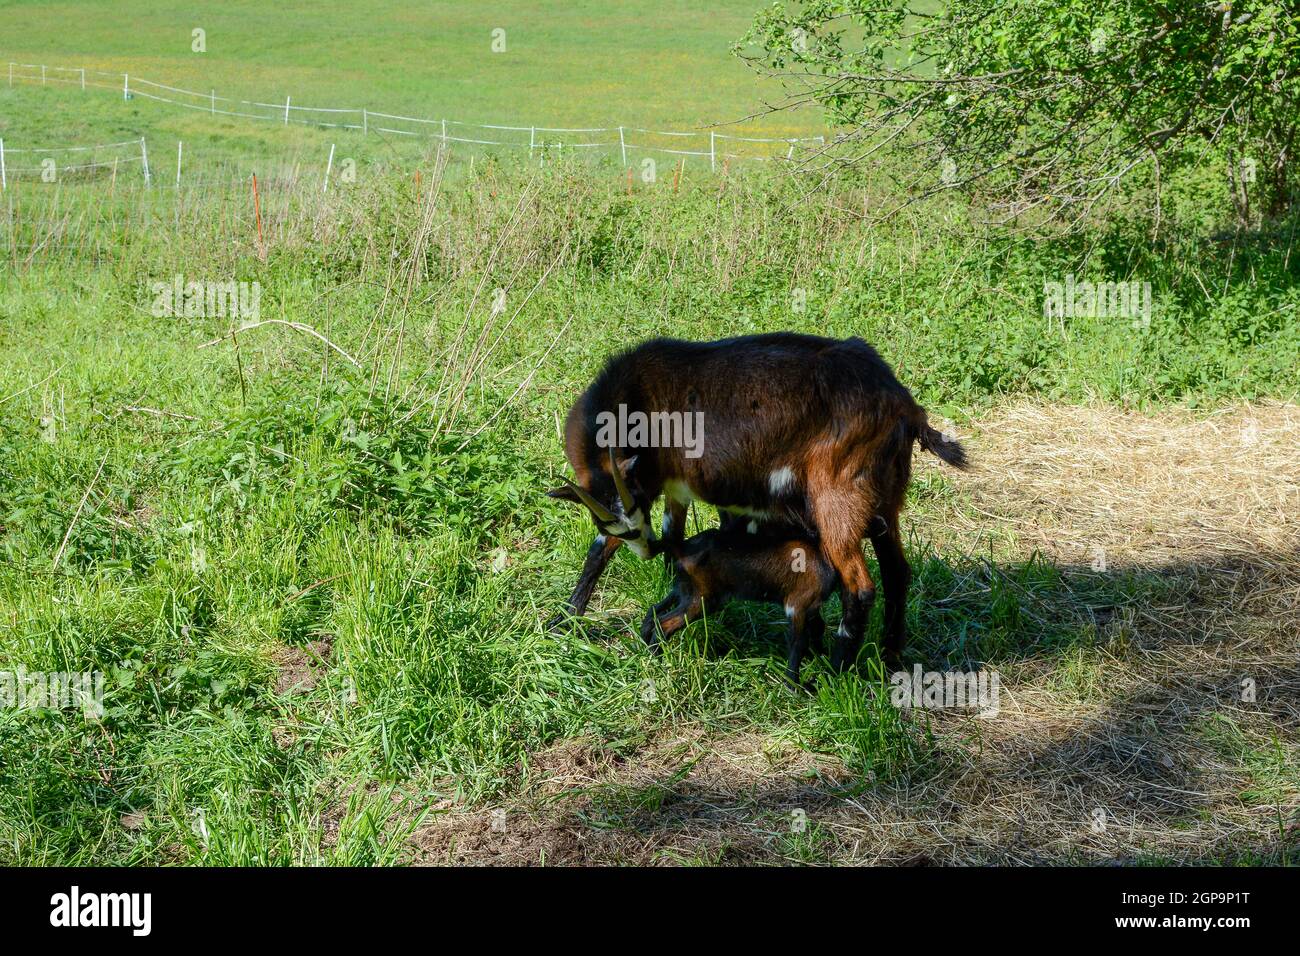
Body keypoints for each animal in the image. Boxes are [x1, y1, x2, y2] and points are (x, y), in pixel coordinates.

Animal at [547, 333, 967, 668]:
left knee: (860, 587)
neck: (636, 404)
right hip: (885, 499)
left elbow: (611, 547)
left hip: (840, 495)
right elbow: (665, 537)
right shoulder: (674, 489)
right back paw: (889, 657)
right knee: (897, 572)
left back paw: (837, 669)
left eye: (634, 505)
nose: (645, 551)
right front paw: (564, 622)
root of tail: (903, 403)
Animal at [642, 525, 838, 685]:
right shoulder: (798, 605)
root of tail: (682, 548)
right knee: (664, 624)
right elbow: (798, 643)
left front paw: (825, 660)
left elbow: (818, 629)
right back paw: (659, 659)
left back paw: (644, 648)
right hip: (702, 599)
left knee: (652, 612)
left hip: (683, 591)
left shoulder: (812, 607)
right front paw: (795, 686)